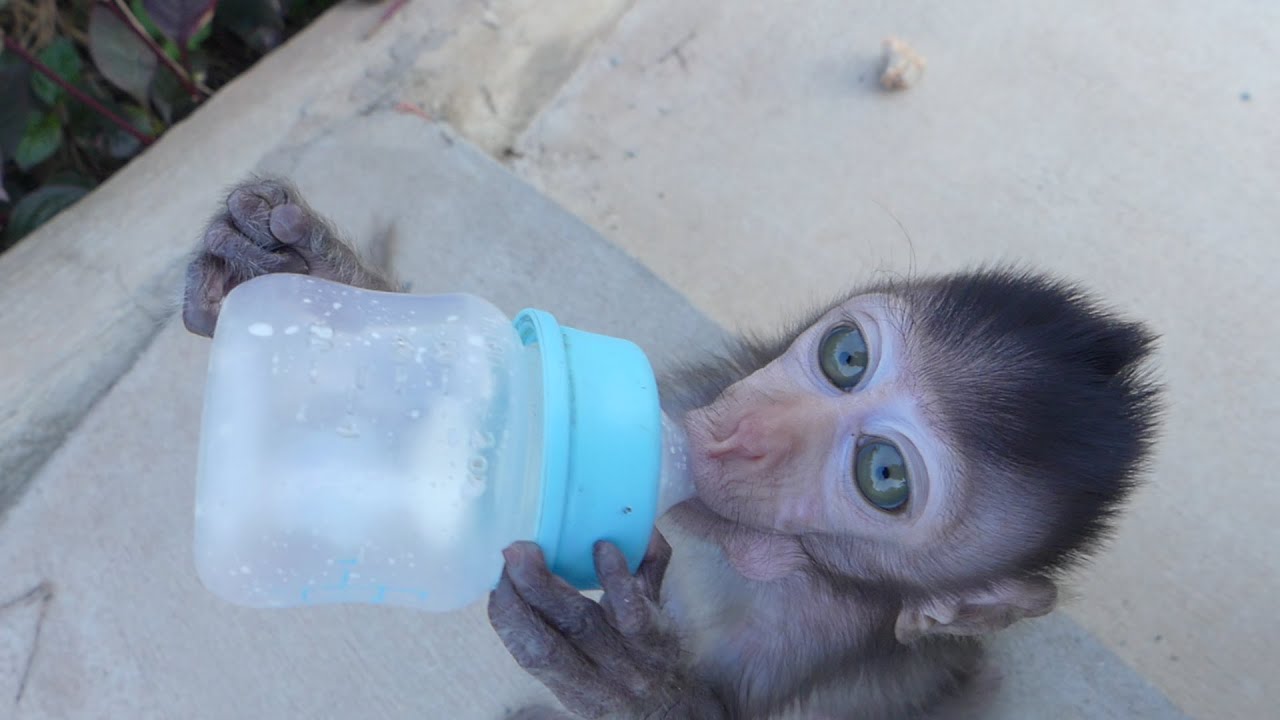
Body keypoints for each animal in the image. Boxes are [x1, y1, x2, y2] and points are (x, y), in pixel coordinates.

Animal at [182, 178, 1162, 719]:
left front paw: (631, 681)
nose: (745, 436)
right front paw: (312, 272)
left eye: (884, 476)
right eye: (847, 357)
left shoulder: (802, 636)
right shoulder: (699, 394)